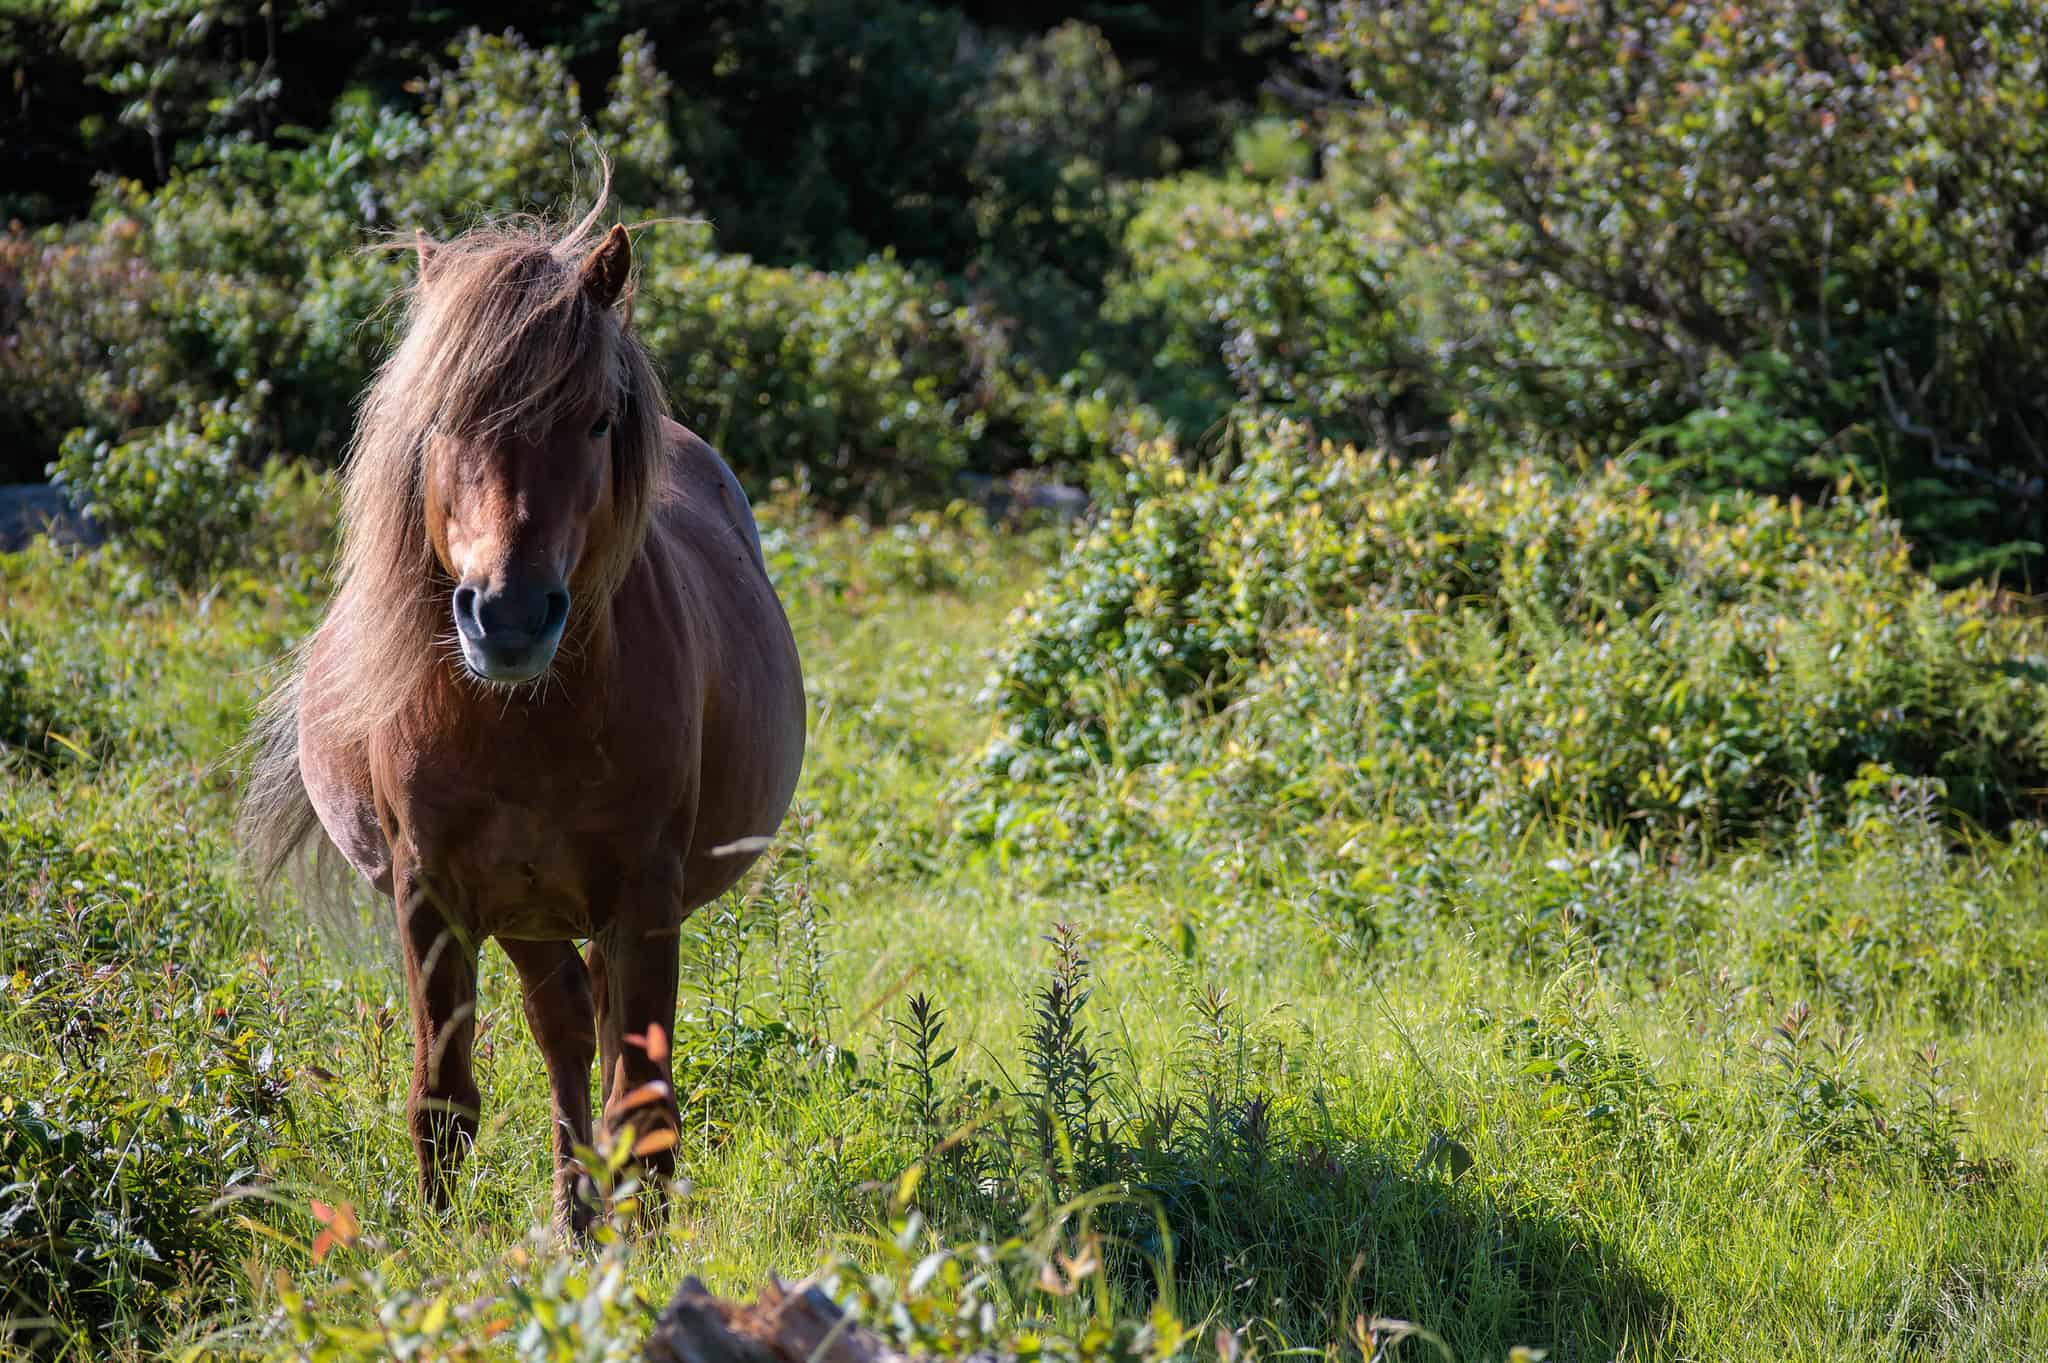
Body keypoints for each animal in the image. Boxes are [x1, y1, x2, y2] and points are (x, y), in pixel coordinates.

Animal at [238, 198, 807, 1235]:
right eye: (442, 416)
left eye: (595, 422)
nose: (507, 615)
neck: (522, 728)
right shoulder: (429, 895)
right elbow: (444, 1094)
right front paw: (437, 1243)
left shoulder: (644, 894)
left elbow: (645, 1102)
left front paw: (645, 1251)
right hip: (524, 911)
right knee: (563, 1025)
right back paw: (576, 1211)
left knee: (599, 1038)